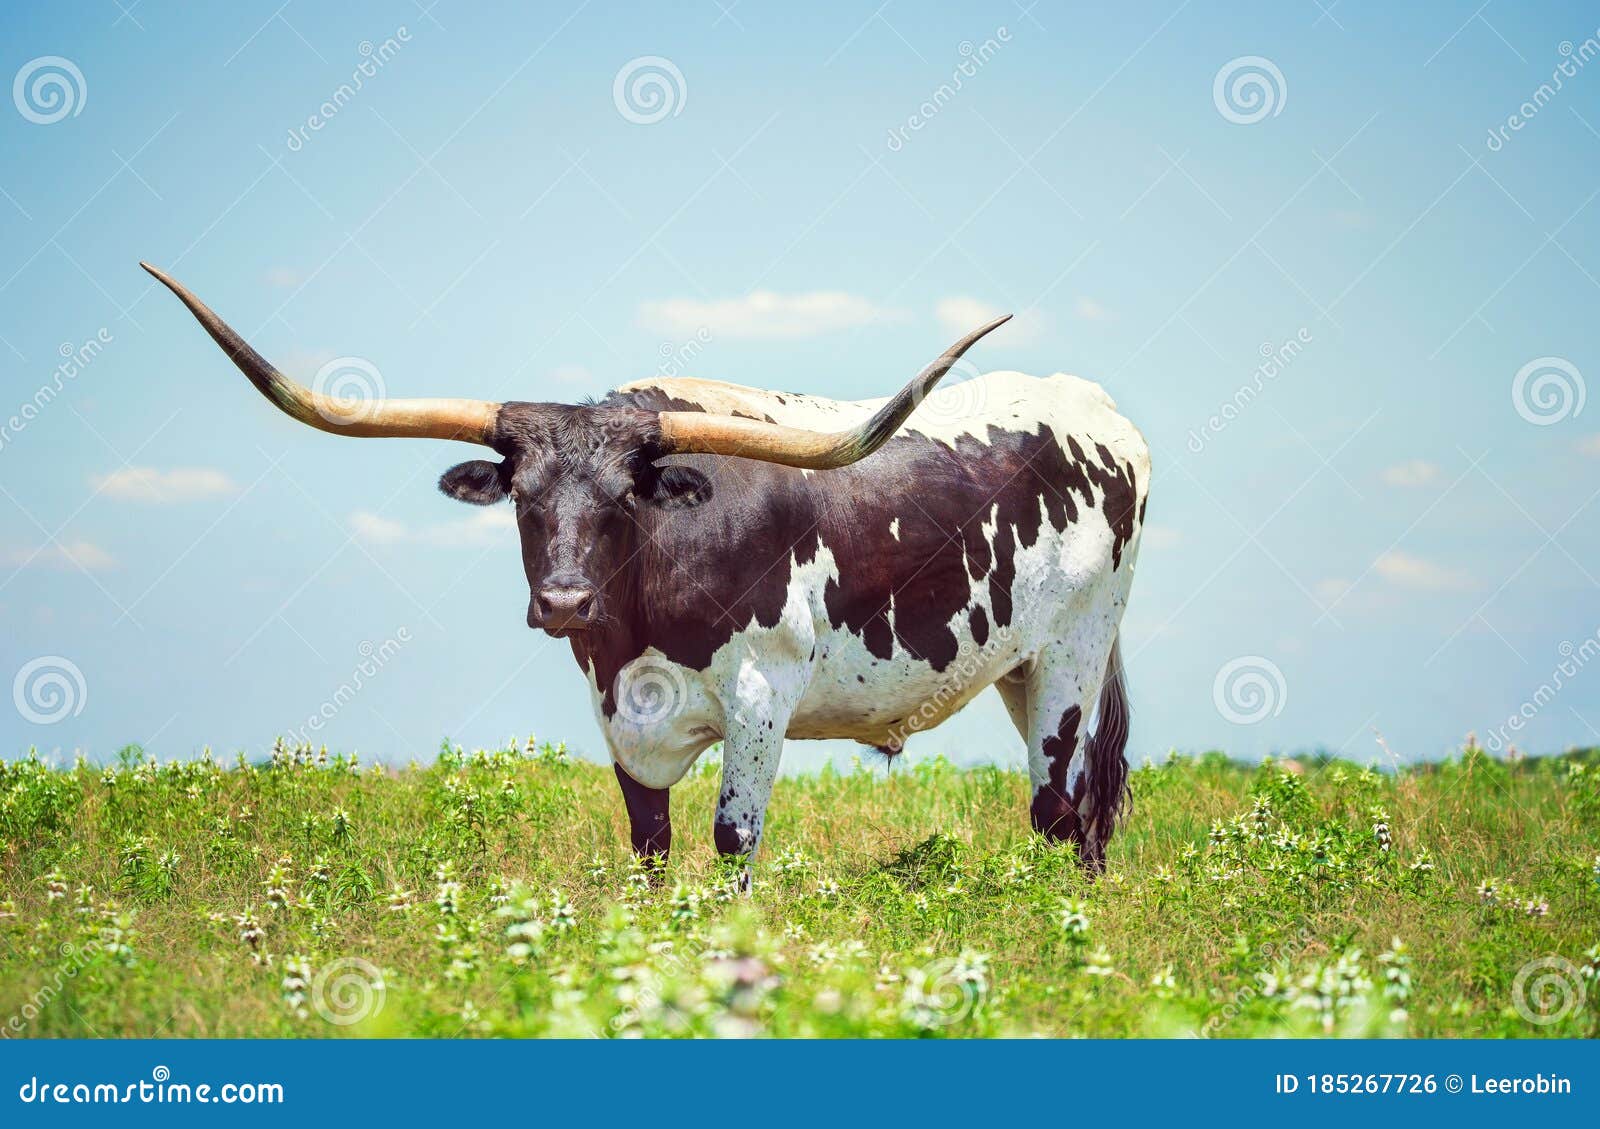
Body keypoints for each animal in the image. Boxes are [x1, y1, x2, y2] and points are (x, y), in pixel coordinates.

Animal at [144, 262, 1149, 878]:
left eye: (625, 496)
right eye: (522, 497)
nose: (562, 599)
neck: (638, 616)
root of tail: (1095, 409)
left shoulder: (762, 696)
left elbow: (732, 838)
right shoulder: (619, 712)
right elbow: (649, 844)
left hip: (1073, 655)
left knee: (1057, 809)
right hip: (1017, 668)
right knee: (1075, 815)